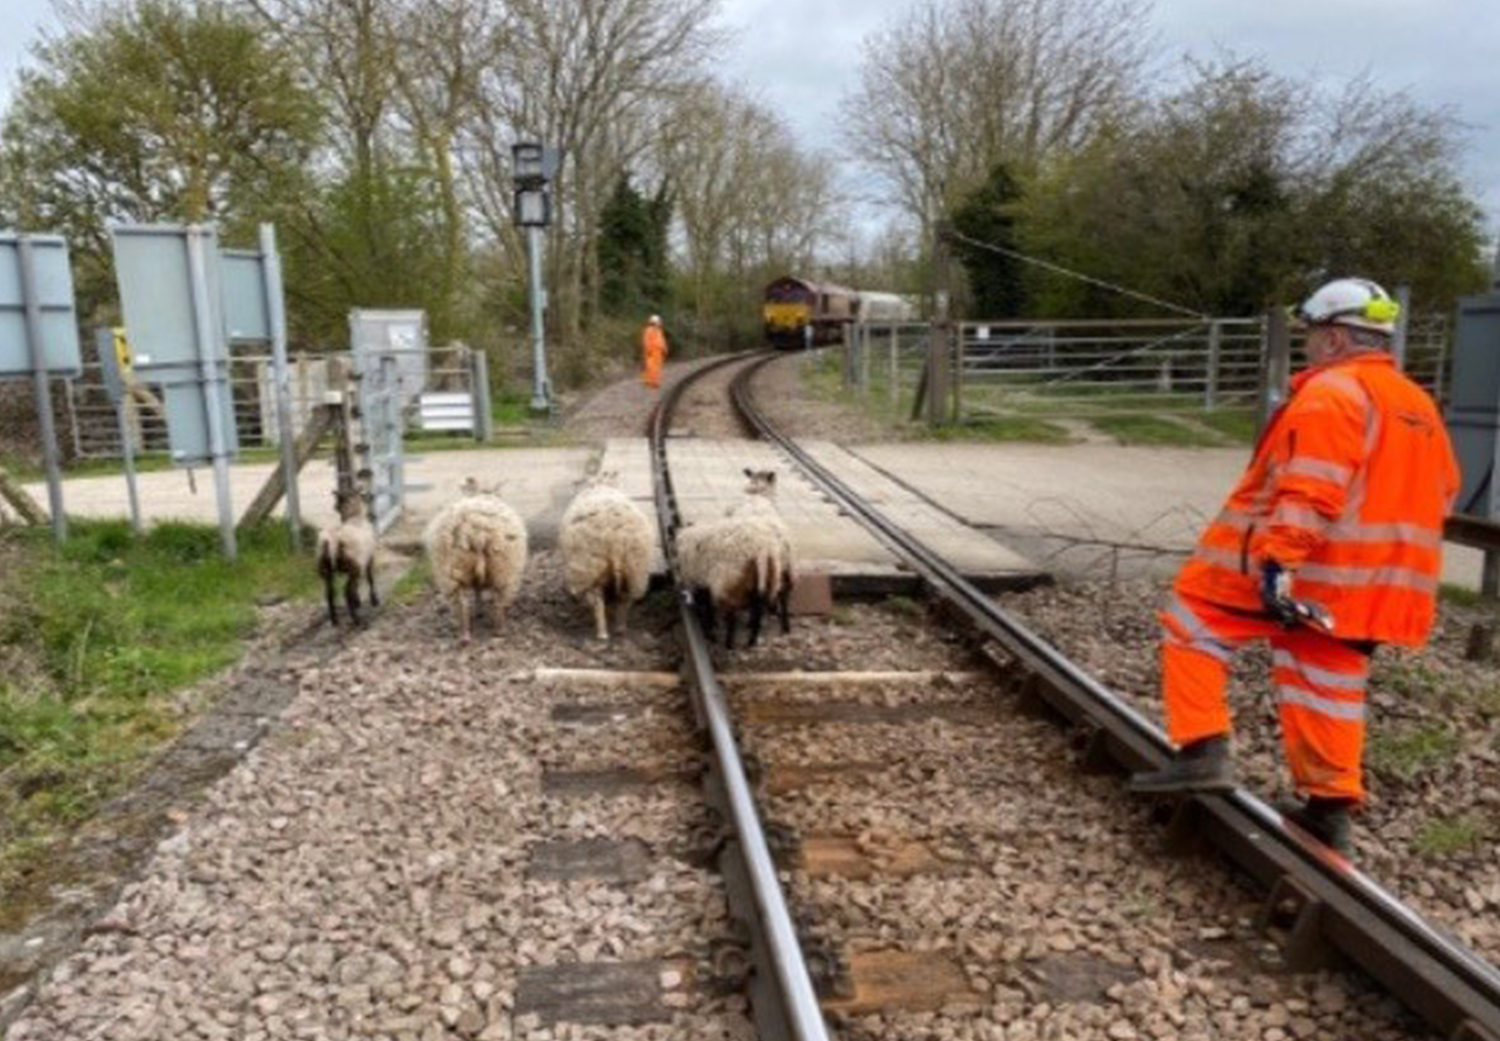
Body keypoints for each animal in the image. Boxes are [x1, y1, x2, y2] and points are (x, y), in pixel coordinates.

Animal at [317, 484, 379, 627]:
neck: (355, 518)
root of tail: (333, 540)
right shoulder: (369, 558)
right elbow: (370, 578)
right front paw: (374, 601)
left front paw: (357, 602)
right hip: (354, 566)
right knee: (346, 592)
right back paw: (357, 620)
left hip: (325, 569)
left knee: (330, 593)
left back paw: (334, 620)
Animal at [423, 478, 529, 643]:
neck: (483, 494)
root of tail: (477, 532)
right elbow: (479, 591)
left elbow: (477, 590)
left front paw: (479, 610)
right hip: (505, 569)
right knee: (498, 604)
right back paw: (499, 631)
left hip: (449, 573)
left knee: (462, 606)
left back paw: (465, 636)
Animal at [558, 471, 654, 641]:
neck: (600, 485)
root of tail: (615, 540)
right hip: (635, 569)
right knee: (625, 600)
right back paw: (620, 628)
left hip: (589, 567)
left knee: (597, 602)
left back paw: (602, 633)